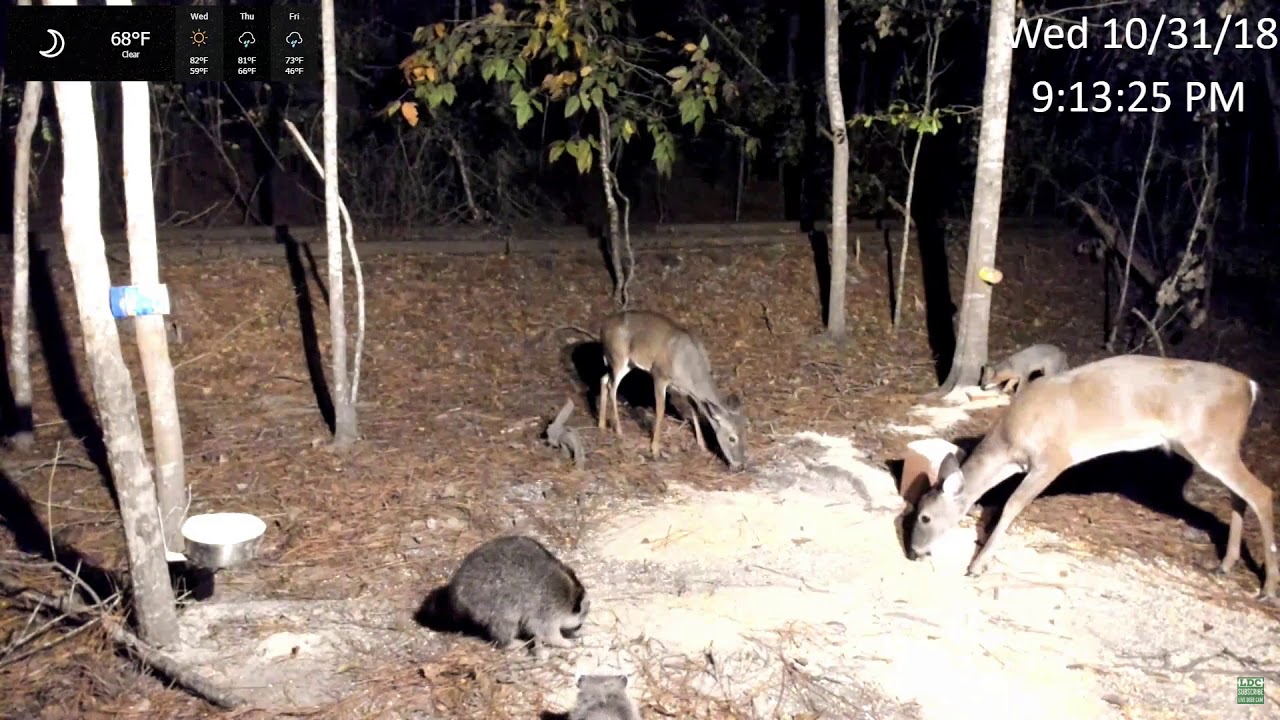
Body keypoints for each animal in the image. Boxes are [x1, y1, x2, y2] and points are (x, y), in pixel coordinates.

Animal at [596, 310, 746, 471]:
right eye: (732, 438)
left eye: (745, 433)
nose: (741, 464)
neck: (689, 369)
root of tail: (603, 327)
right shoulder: (659, 375)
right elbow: (660, 410)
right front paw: (655, 450)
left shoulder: (686, 390)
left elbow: (694, 410)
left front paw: (703, 446)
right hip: (619, 356)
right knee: (612, 386)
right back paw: (618, 430)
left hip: (625, 363)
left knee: (604, 379)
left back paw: (601, 425)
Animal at [908, 354, 1278, 601]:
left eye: (925, 517)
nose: (914, 550)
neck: (1010, 444)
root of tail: (1249, 387)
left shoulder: (1053, 458)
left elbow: (1011, 505)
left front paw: (978, 564)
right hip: (1203, 446)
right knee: (1239, 494)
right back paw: (1225, 564)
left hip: (1210, 442)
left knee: (1261, 492)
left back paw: (1267, 588)